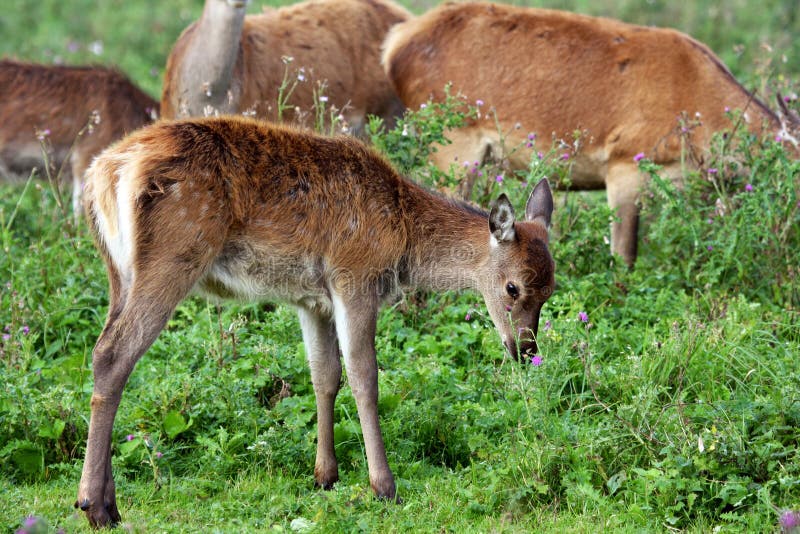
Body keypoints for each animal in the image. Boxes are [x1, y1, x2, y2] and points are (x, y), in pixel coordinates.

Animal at [75, 115, 555, 527]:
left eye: (550, 288)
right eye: (512, 287)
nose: (526, 349)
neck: (402, 239)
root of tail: (103, 174)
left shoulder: (312, 301)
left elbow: (325, 376)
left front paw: (325, 475)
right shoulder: (354, 276)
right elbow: (365, 377)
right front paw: (384, 486)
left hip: (118, 272)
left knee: (103, 354)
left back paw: (108, 502)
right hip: (175, 253)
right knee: (113, 355)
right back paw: (94, 506)